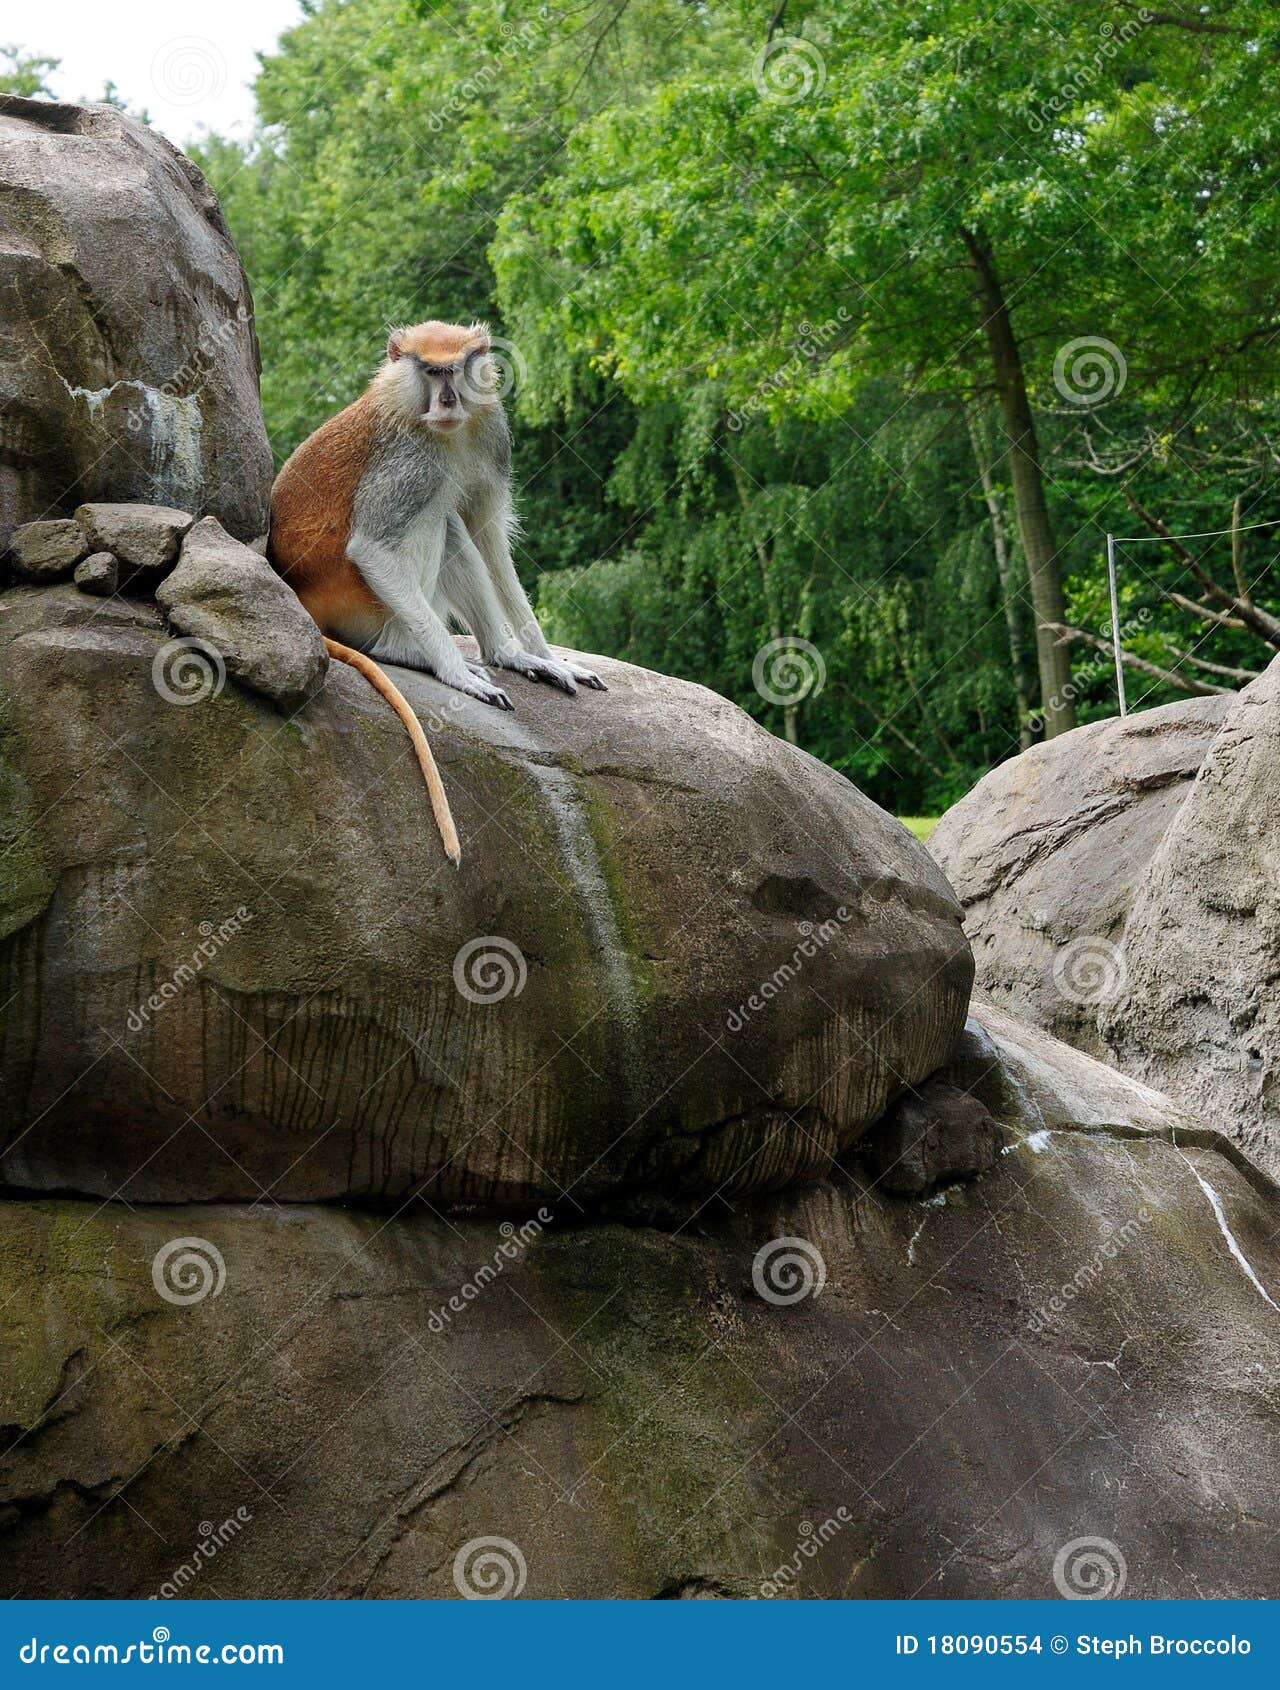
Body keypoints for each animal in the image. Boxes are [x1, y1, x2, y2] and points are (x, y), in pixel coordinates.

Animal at [268, 319, 605, 866]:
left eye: (456, 370)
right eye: (430, 371)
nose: (447, 401)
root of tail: (295, 594)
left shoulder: (491, 437)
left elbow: (487, 535)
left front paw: (544, 657)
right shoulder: (410, 463)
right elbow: (375, 547)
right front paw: (455, 673)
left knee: (450, 523)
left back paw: (504, 653)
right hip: (353, 599)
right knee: (430, 517)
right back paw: (405, 650)